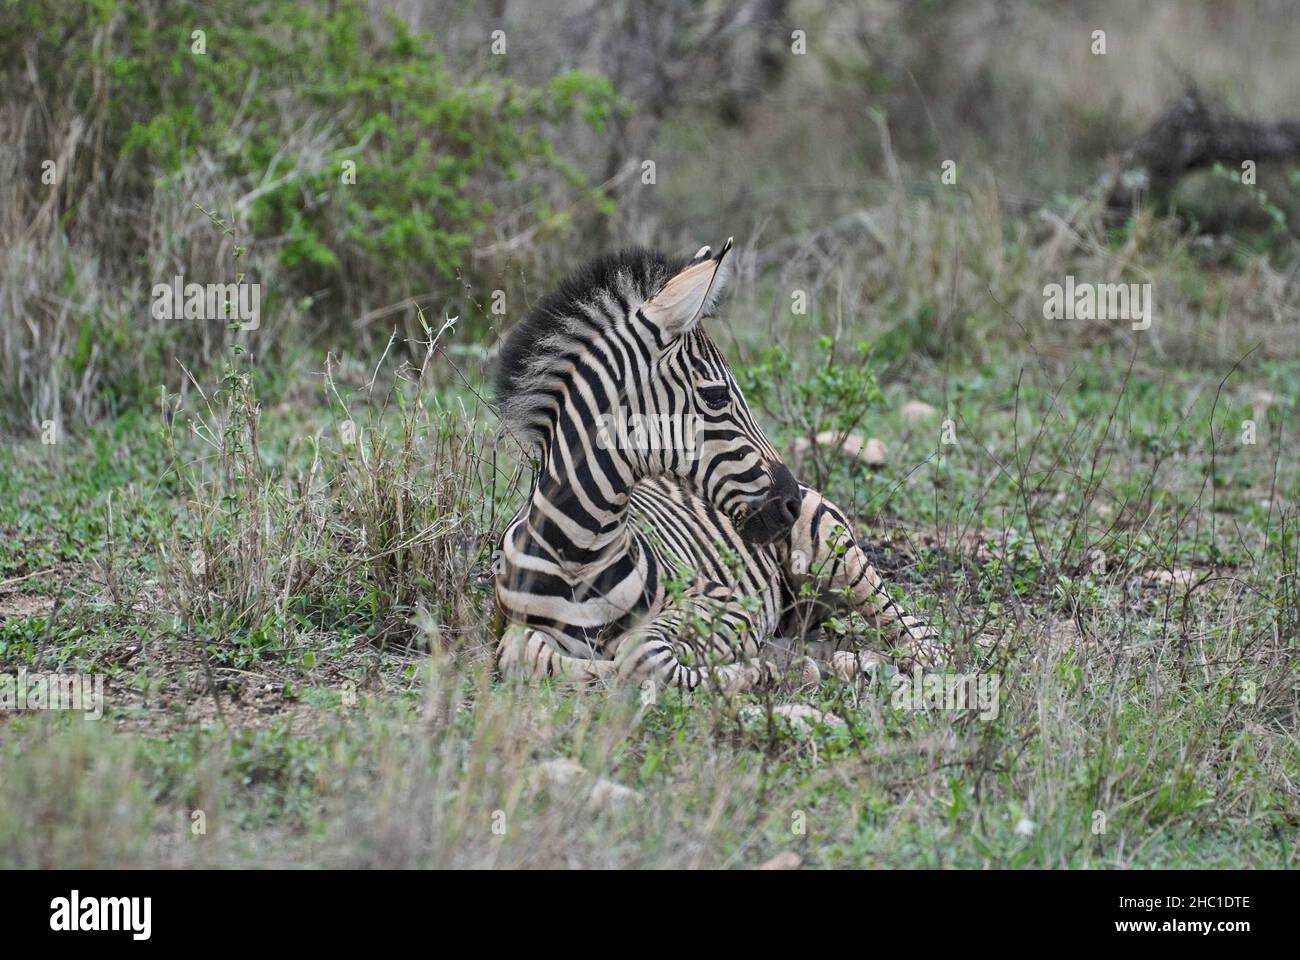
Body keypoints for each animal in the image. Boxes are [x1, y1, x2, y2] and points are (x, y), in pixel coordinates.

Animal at [493, 239, 940, 693]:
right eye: (716, 396)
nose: (790, 504)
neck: (578, 552)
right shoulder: (512, 627)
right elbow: (523, 656)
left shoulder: (721, 602)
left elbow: (641, 654)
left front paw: (762, 671)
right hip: (805, 614)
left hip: (837, 559)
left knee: (917, 631)